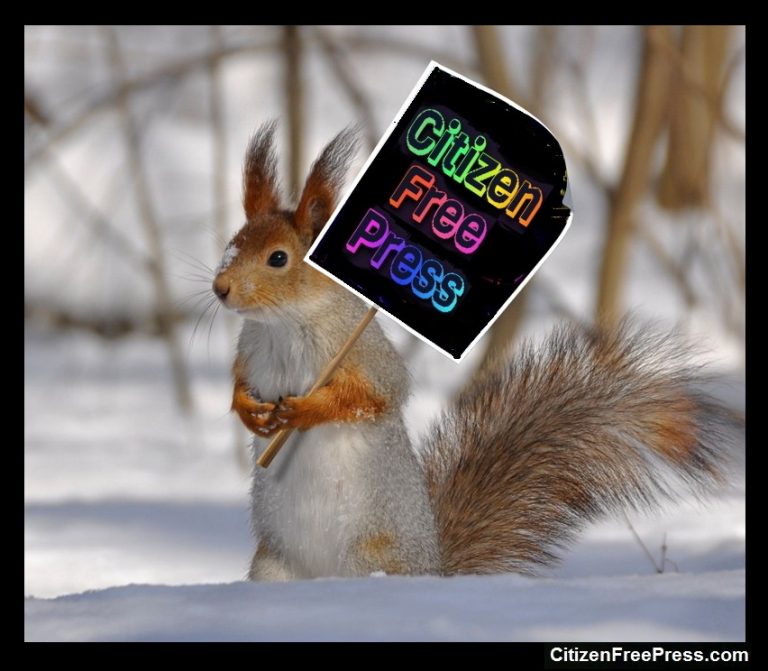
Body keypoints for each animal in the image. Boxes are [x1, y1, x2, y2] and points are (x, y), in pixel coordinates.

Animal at [212, 122, 738, 581]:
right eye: (231, 244)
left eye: (278, 258)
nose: (220, 288)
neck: (282, 325)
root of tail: (433, 570)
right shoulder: (250, 350)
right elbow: (240, 381)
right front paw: (248, 410)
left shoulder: (359, 350)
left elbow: (374, 395)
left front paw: (303, 410)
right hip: (273, 565)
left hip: (368, 555)